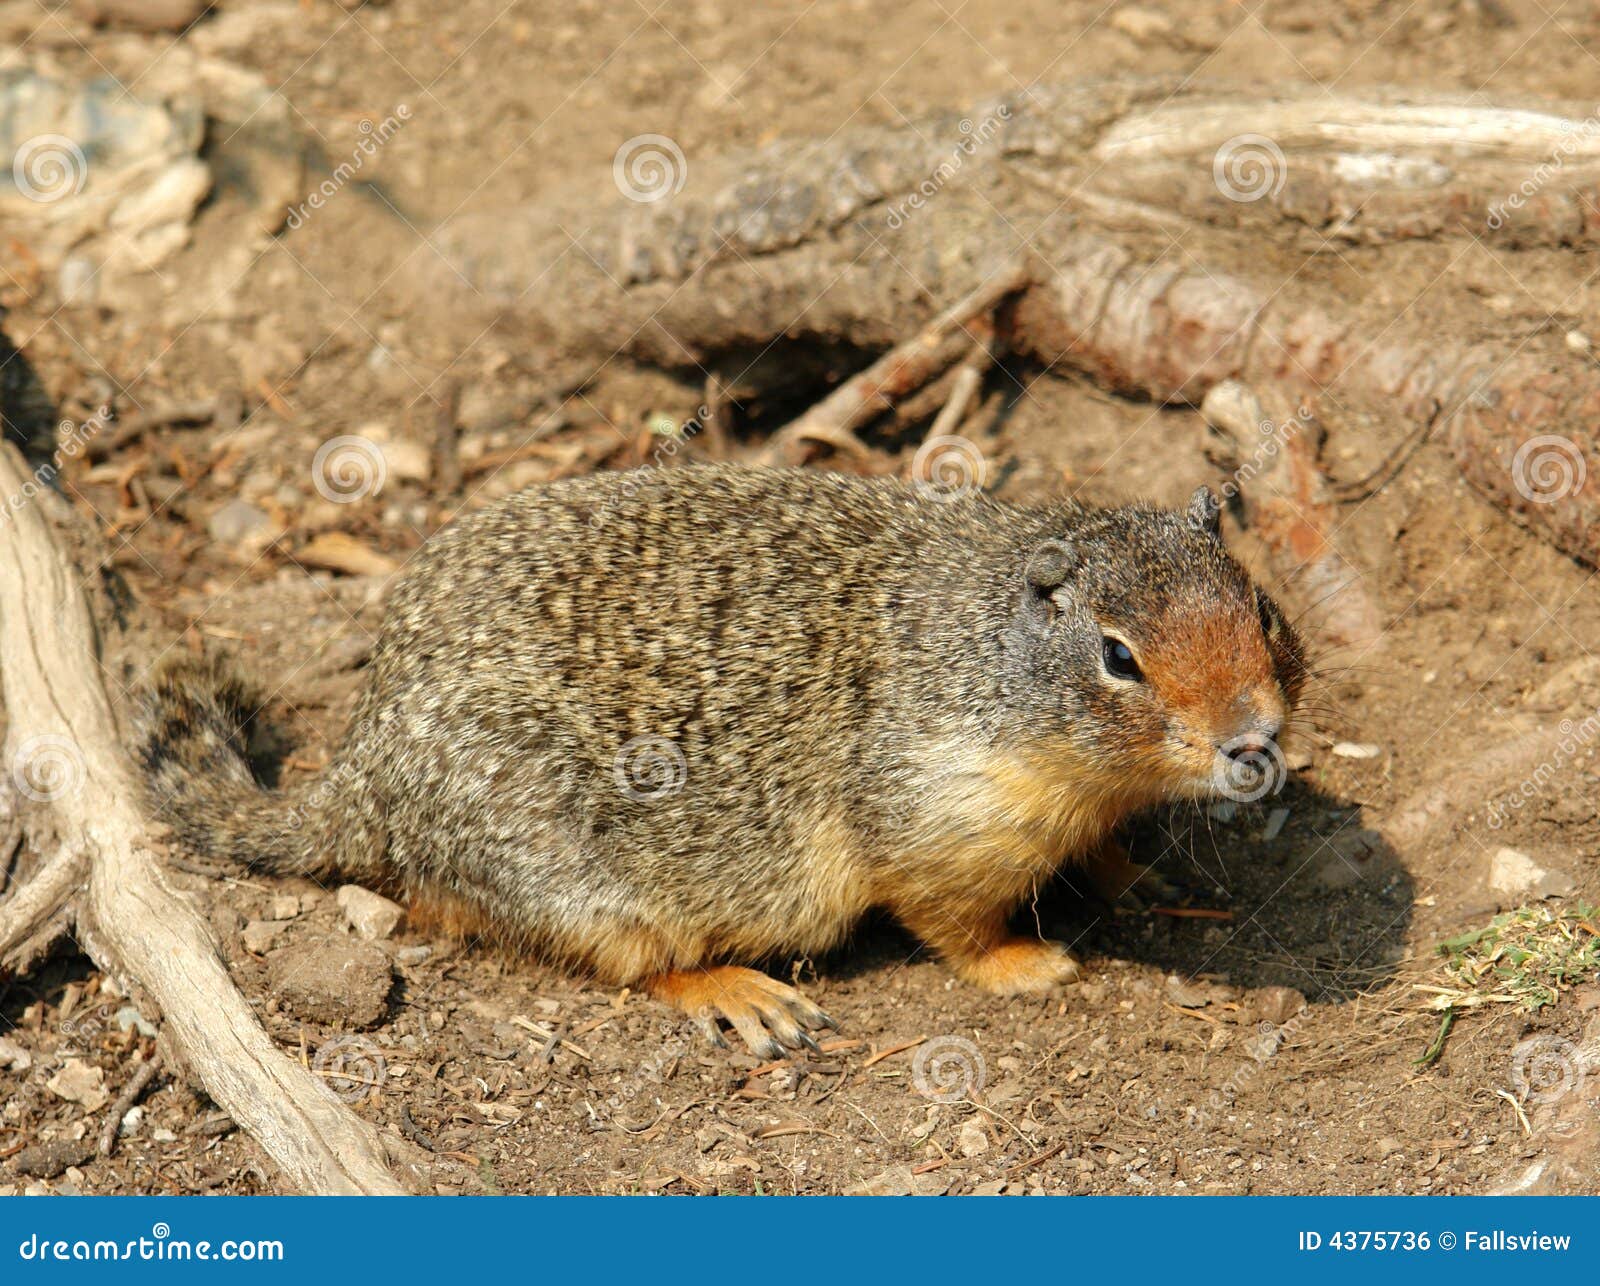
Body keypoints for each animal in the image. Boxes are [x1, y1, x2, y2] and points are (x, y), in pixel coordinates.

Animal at [138, 464, 1306, 1057]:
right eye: (1119, 656)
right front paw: (1031, 963)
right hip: (583, 889)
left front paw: (1136, 871)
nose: (1253, 737)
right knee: (632, 961)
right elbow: (954, 925)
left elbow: (1105, 850)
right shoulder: (940, 819)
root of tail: (359, 775)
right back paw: (743, 994)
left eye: (1258, 604)